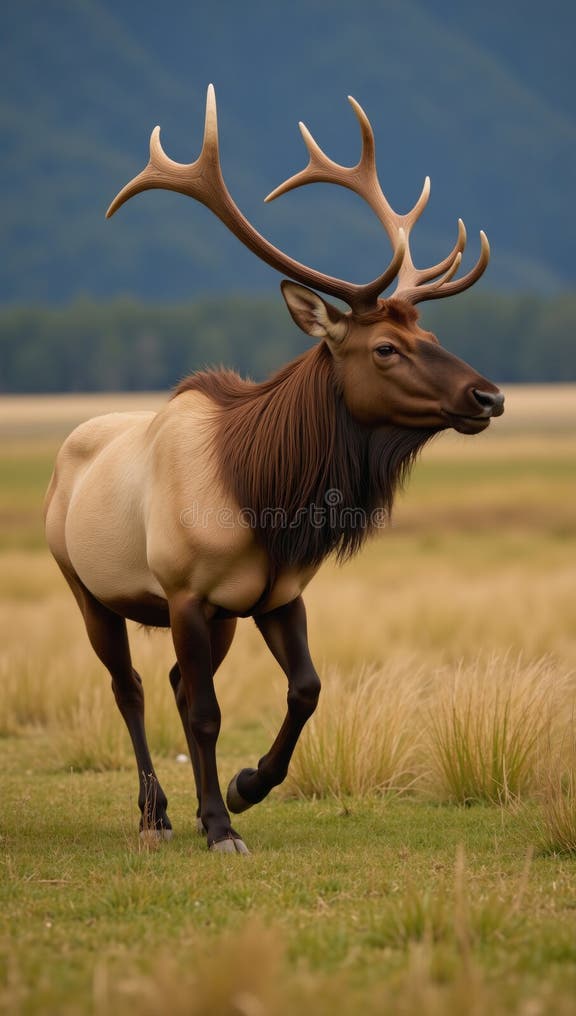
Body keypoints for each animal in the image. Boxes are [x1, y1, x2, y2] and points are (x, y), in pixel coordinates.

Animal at [44, 86, 504, 854]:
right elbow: (206, 712)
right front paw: (220, 826)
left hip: (217, 617)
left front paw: (243, 787)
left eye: (431, 334)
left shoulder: (276, 594)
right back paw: (155, 813)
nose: (489, 396)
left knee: (172, 681)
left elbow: (306, 689)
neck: (263, 498)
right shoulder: (184, 591)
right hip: (87, 586)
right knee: (130, 686)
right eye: (385, 348)